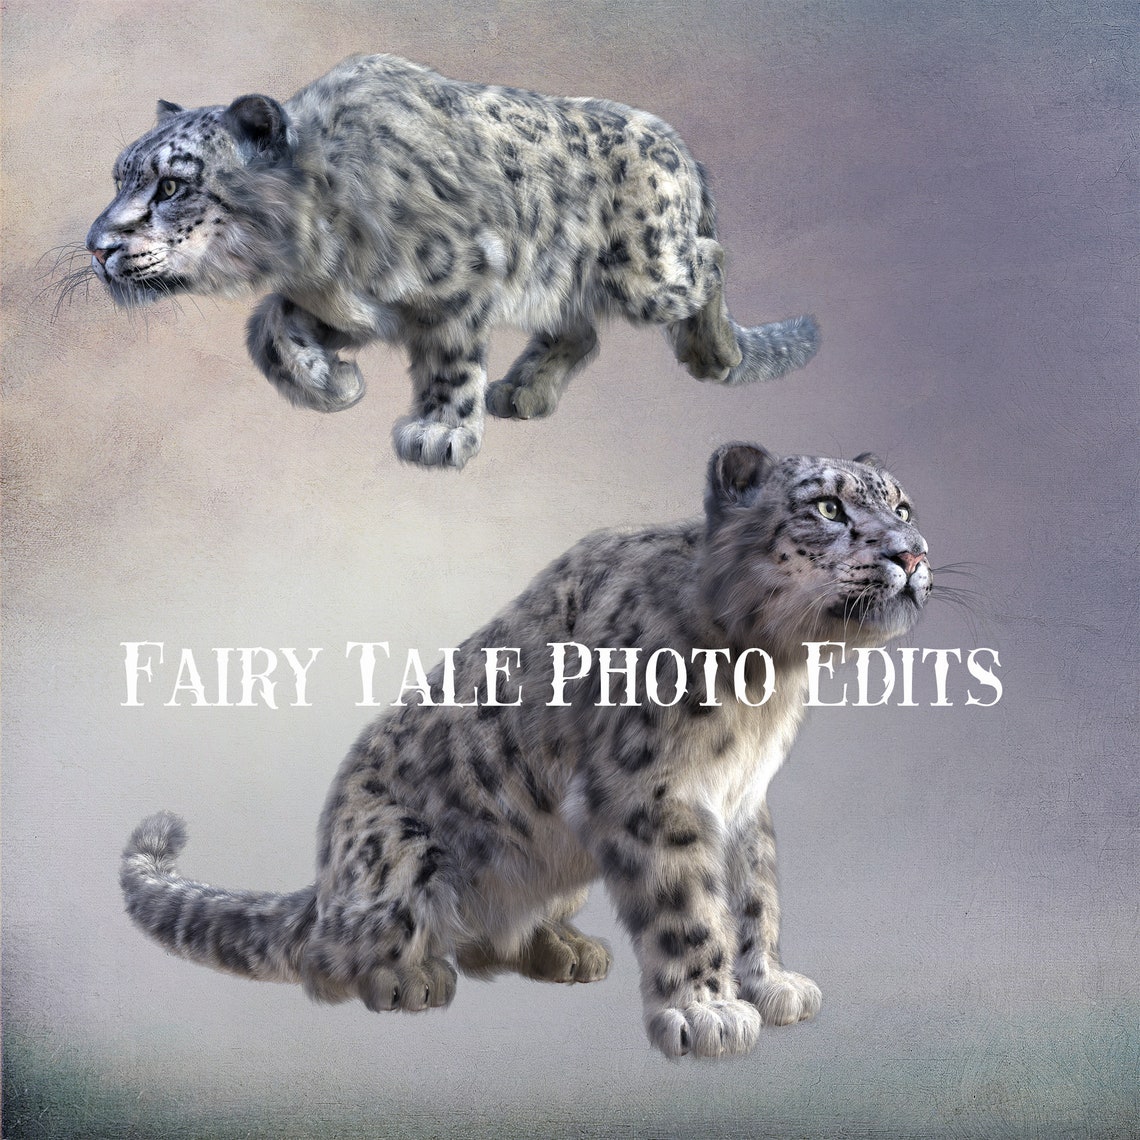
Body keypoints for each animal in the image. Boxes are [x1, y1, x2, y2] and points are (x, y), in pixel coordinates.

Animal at [84, 54, 820, 468]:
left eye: (171, 185)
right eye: (118, 175)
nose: (97, 246)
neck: (315, 255)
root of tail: (680, 145)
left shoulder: (458, 283)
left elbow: (450, 361)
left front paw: (438, 434)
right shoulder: (348, 303)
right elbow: (270, 328)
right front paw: (331, 383)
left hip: (649, 272)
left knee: (711, 257)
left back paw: (713, 352)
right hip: (563, 280)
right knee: (580, 329)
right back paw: (524, 390)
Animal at [121, 442, 931, 1058]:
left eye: (903, 507)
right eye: (827, 508)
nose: (915, 552)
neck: (772, 678)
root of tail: (324, 879)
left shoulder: (740, 798)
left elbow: (756, 894)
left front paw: (770, 984)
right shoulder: (651, 793)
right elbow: (691, 908)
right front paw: (709, 1012)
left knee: (490, 943)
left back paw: (564, 951)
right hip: (399, 851)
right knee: (332, 954)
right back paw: (407, 978)